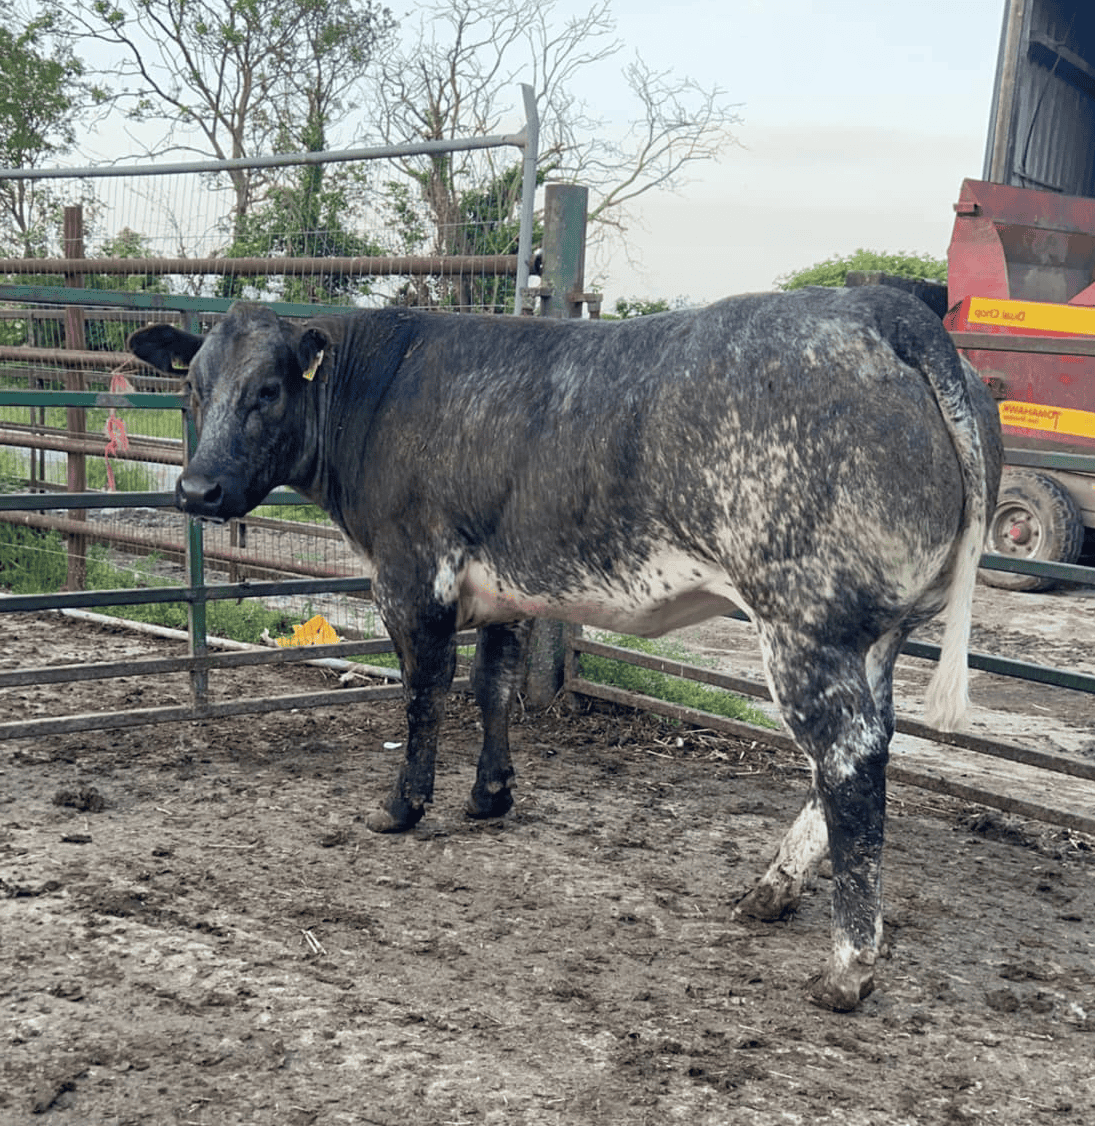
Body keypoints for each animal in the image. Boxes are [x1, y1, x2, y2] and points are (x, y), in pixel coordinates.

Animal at [128, 286, 1002, 1011]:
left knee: (848, 758)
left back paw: (846, 966)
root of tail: (884, 311)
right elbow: (491, 686)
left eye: (268, 391)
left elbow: (423, 692)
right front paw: (489, 795)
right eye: (190, 389)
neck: (378, 390)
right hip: (878, 634)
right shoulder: (504, 587)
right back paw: (771, 890)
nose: (196, 491)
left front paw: (401, 806)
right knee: (862, 748)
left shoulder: (411, 576)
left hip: (803, 622)